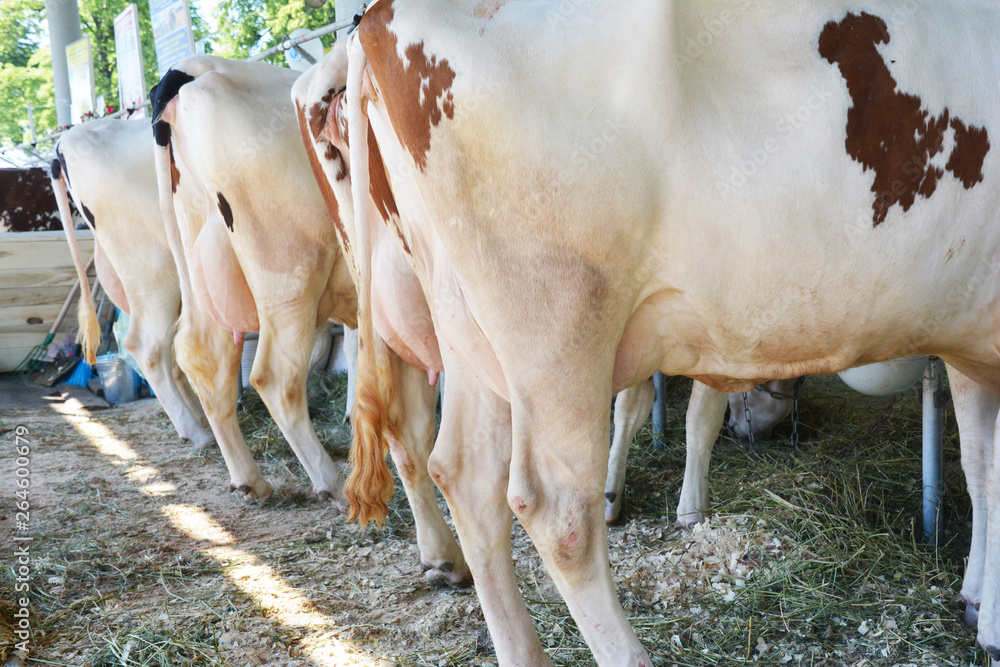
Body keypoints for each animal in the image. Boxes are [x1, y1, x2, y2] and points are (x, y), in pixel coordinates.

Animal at [155, 55, 468, 584]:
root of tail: (190, 72)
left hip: (206, 269)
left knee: (200, 357)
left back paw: (251, 481)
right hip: (289, 279)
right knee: (272, 375)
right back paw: (331, 482)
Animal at [338, 1, 1000, 663]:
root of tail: (376, 17)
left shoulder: (972, 342)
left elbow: (978, 465)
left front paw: (974, 599)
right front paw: (990, 622)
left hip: (468, 331)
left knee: (464, 476)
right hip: (557, 329)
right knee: (556, 507)